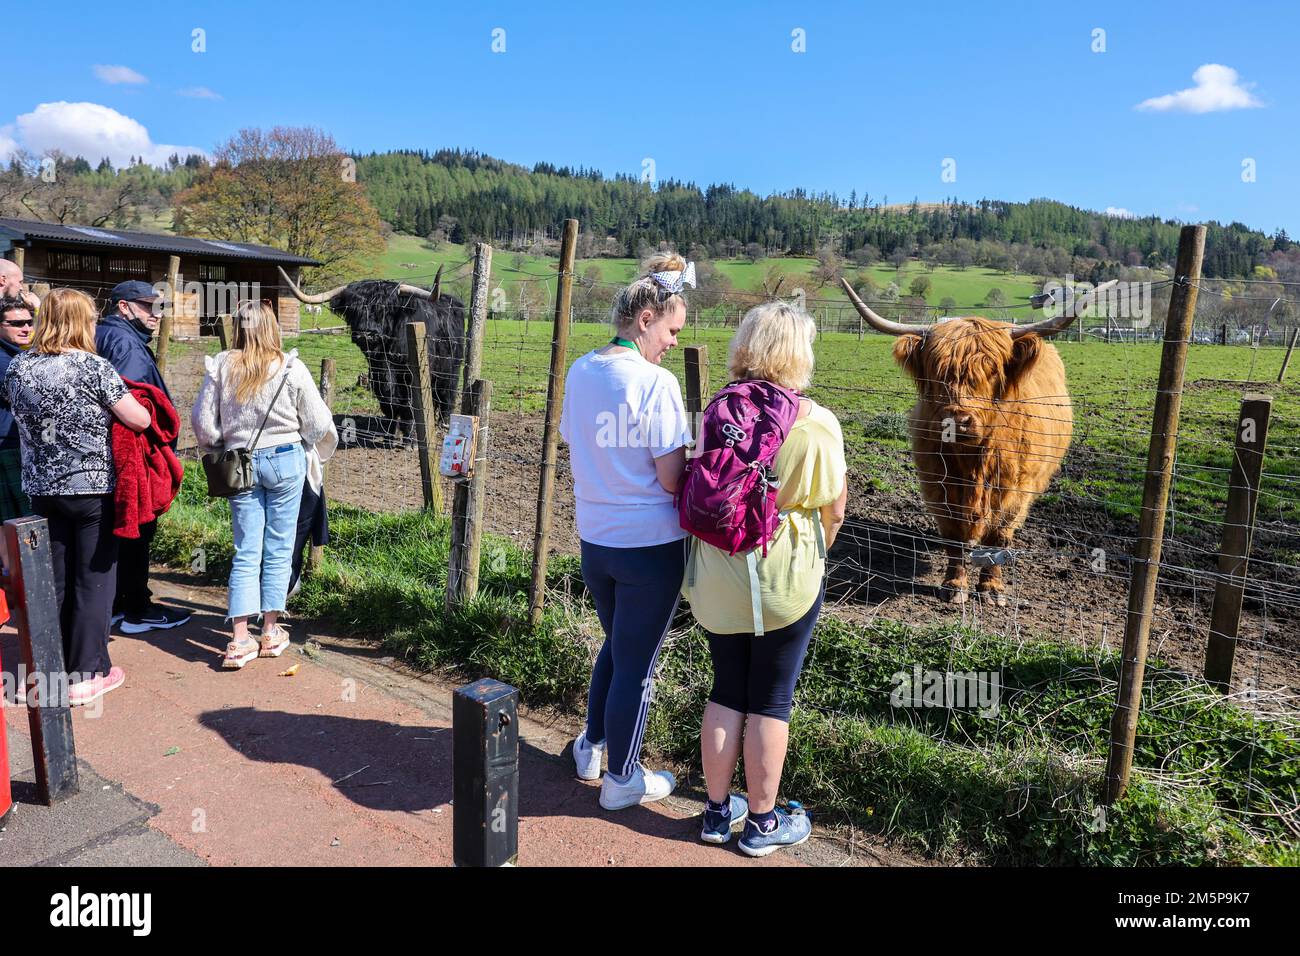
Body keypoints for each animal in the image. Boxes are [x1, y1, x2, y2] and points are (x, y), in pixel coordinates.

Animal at [280, 266, 465, 444]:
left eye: (384, 309)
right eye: (353, 310)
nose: (365, 334)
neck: (386, 359)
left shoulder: (411, 378)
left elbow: (409, 408)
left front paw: (409, 440)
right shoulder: (377, 374)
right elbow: (389, 406)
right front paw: (389, 437)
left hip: (451, 370)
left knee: (446, 396)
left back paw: (443, 425)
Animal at [841, 278, 1113, 605]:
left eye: (991, 370)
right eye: (936, 370)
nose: (957, 420)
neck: (974, 462)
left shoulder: (1016, 490)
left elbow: (999, 537)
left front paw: (991, 589)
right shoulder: (938, 486)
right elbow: (954, 537)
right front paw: (954, 585)